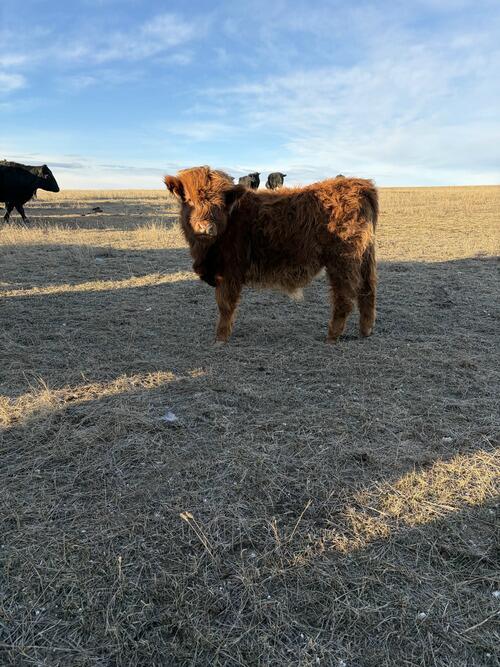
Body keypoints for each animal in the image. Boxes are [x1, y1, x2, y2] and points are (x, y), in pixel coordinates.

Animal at [164, 166, 378, 344]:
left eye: (220, 204)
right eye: (189, 200)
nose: (206, 228)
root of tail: (360, 184)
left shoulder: (230, 270)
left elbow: (225, 305)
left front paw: (220, 338)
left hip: (342, 261)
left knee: (344, 297)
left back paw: (332, 336)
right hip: (364, 258)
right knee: (367, 291)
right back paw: (365, 331)